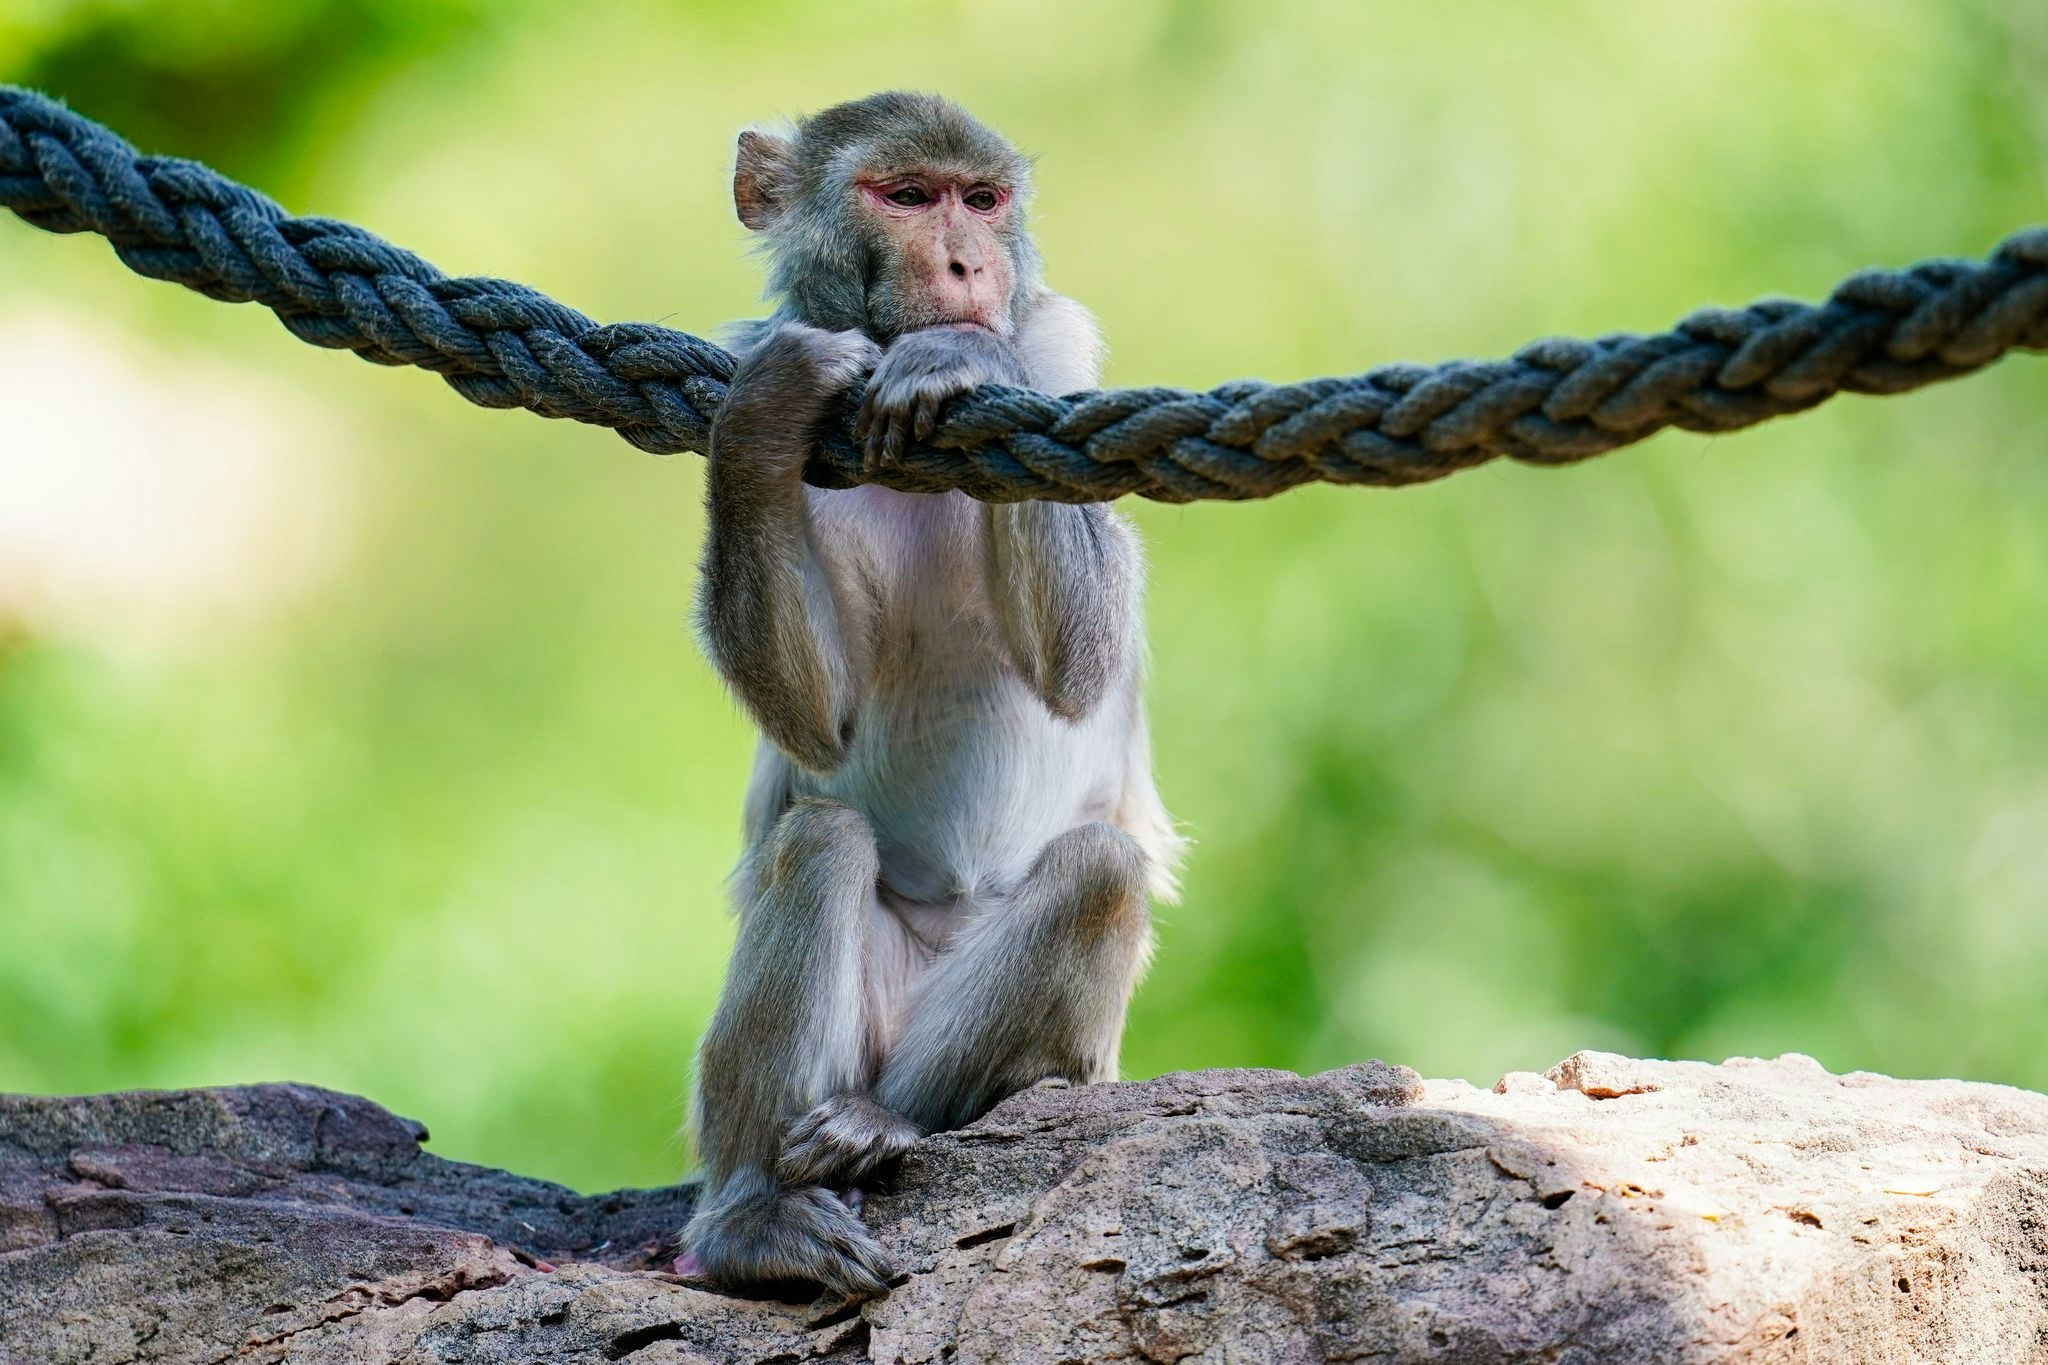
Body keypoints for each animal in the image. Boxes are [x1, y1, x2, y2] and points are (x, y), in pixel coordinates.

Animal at [677, 92, 1182, 1299]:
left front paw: (961, 348)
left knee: (1098, 874)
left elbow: (1083, 662)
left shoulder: (1062, 355)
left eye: (981, 200)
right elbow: (816, 721)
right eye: (906, 197)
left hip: (1056, 1063)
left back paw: (889, 1125)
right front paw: (765, 414)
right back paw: (753, 1218)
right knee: (820, 841)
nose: (965, 264)